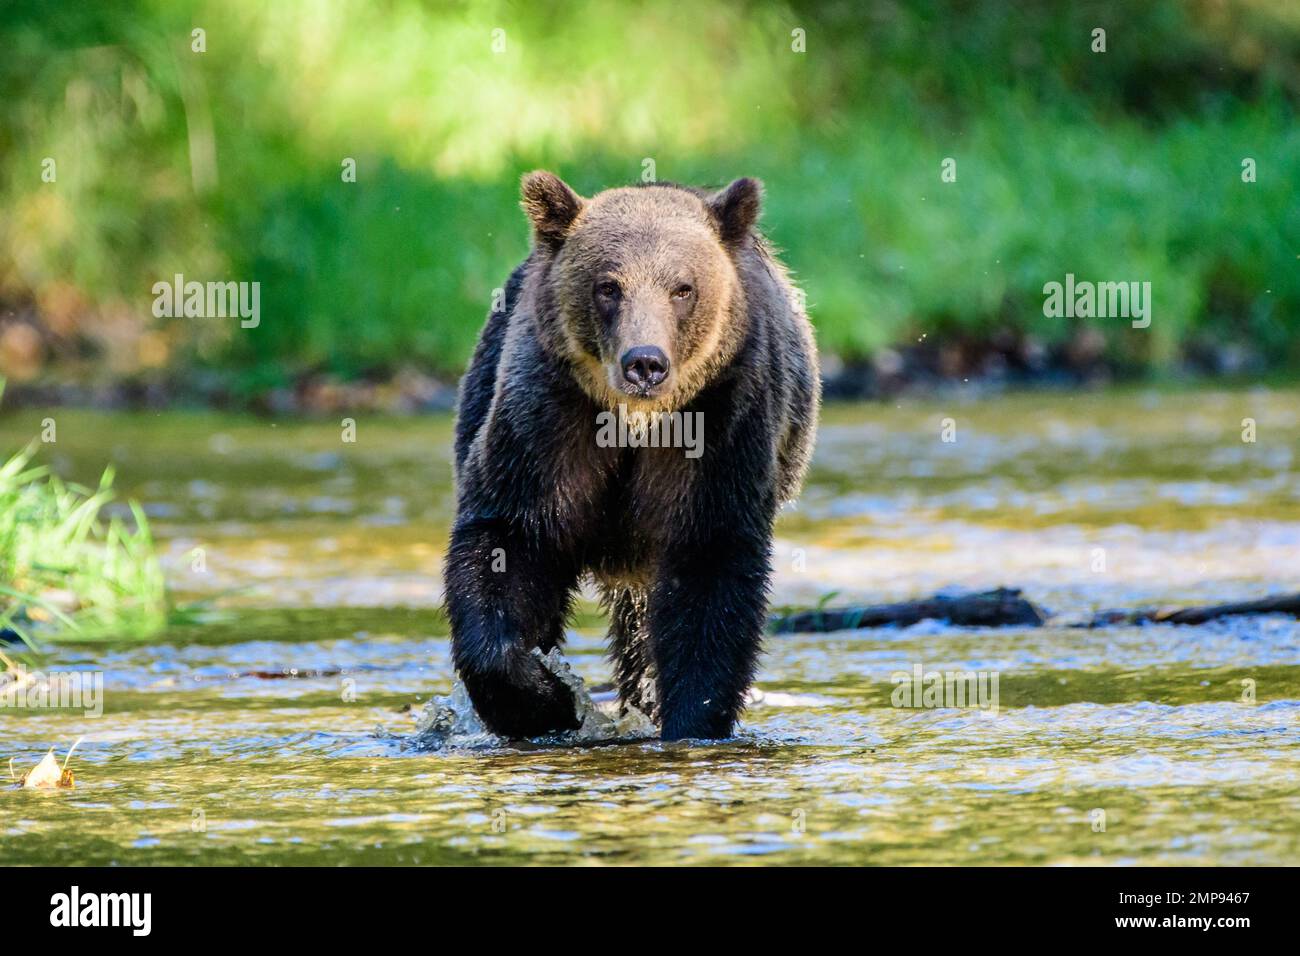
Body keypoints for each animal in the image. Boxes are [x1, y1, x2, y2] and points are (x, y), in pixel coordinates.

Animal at [445, 171, 819, 740]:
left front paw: (690, 717)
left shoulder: (722, 422)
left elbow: (710, 572)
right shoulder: (547, 422)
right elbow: (508, 541)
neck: (633, 423)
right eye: (608, 286)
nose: (645, 363)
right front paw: (547, 698)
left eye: (683, 288)